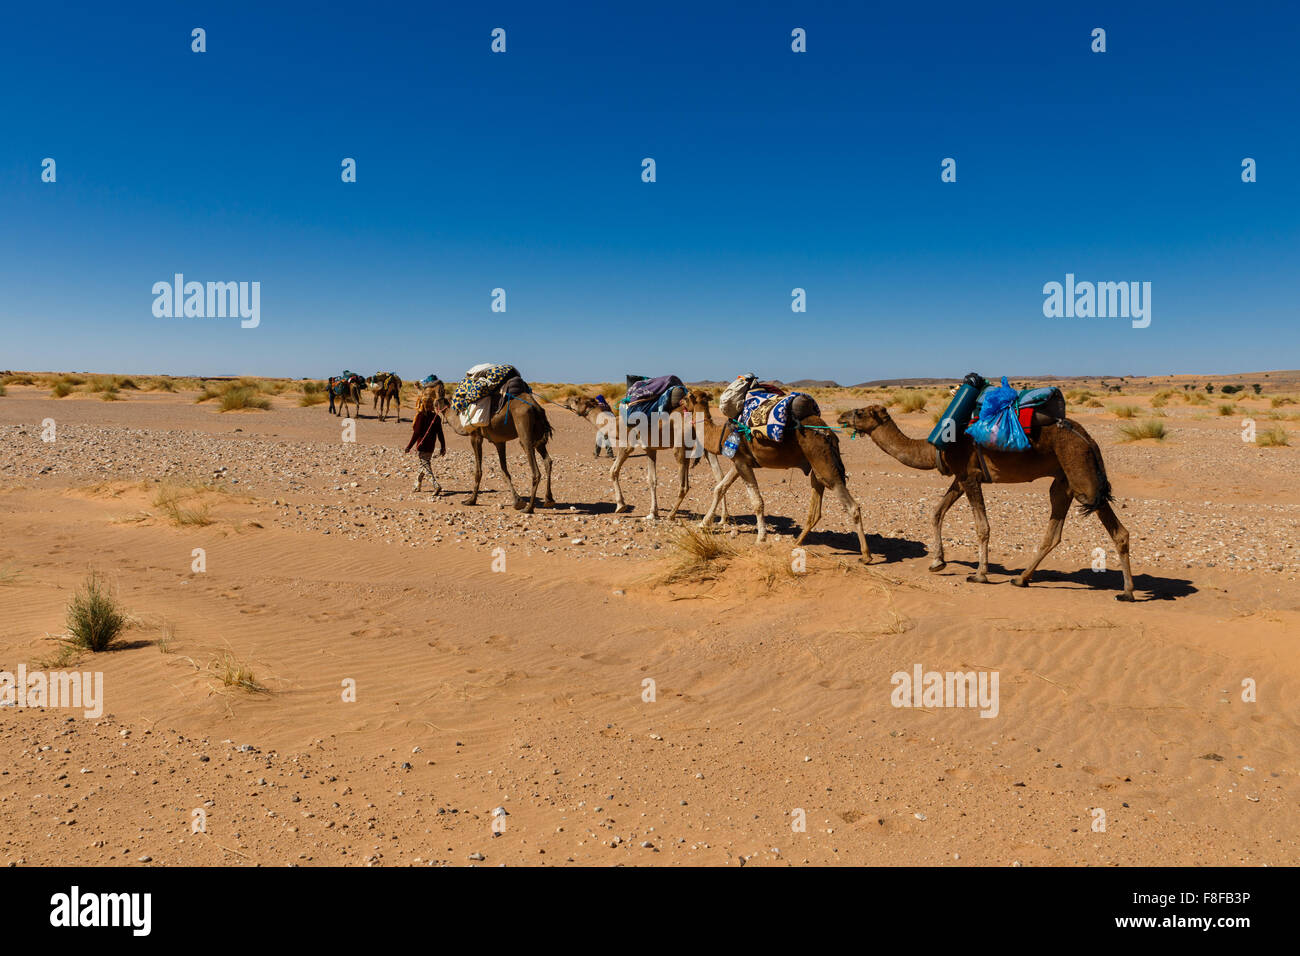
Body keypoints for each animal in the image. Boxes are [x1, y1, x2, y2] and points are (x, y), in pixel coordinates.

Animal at [432, 379, 555, 513]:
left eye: (435, 402)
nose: (433, 409)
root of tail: (536, 407)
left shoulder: (475, 436)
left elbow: (478, 471)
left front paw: (470, 500)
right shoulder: (499, 442)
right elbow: (504, 471)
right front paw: (517, 501)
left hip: (524, 427)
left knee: (535, 469)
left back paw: (529, 508)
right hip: (538, 435)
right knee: (548, 460)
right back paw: (549, 499)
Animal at [564, 395, 730, 522]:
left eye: (577, 400)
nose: (566, 400)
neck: (615, 426)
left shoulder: (628, 445)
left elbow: (613, 471)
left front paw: (621, 506)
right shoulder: (650, 449)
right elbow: (652, 480)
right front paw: (652, 513)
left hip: (680, 447)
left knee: (685, 485)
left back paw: (672, 515)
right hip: (707, 445)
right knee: (719, 477)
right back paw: (723, 517)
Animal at [684, 389, 871, 559]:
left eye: (687, 396)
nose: (680, 402)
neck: (719, 435)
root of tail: (828, 433)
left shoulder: (741, 461)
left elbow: (757, 502)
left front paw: (761, 538)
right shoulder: (740, 461)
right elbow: (720, 488)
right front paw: (703, 524)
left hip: (821, 460)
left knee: (851, 505)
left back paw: (866, 555)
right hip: (817, 467)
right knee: (816, 508)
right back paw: (797, 541)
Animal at [836, 404, 1134, 600]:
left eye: (860, 412)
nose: (840, 416)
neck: (936, 447)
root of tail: (1090, 440)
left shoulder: (970, 476)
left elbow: (982, 527)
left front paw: (979, 574)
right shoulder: (960, 478)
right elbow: (936, 512)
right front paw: (937, 562)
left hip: (1081, 477)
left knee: (1109, 527)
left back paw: (1127, 592)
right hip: (1065, 482)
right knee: (1070, 532)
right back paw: (1021, 579)